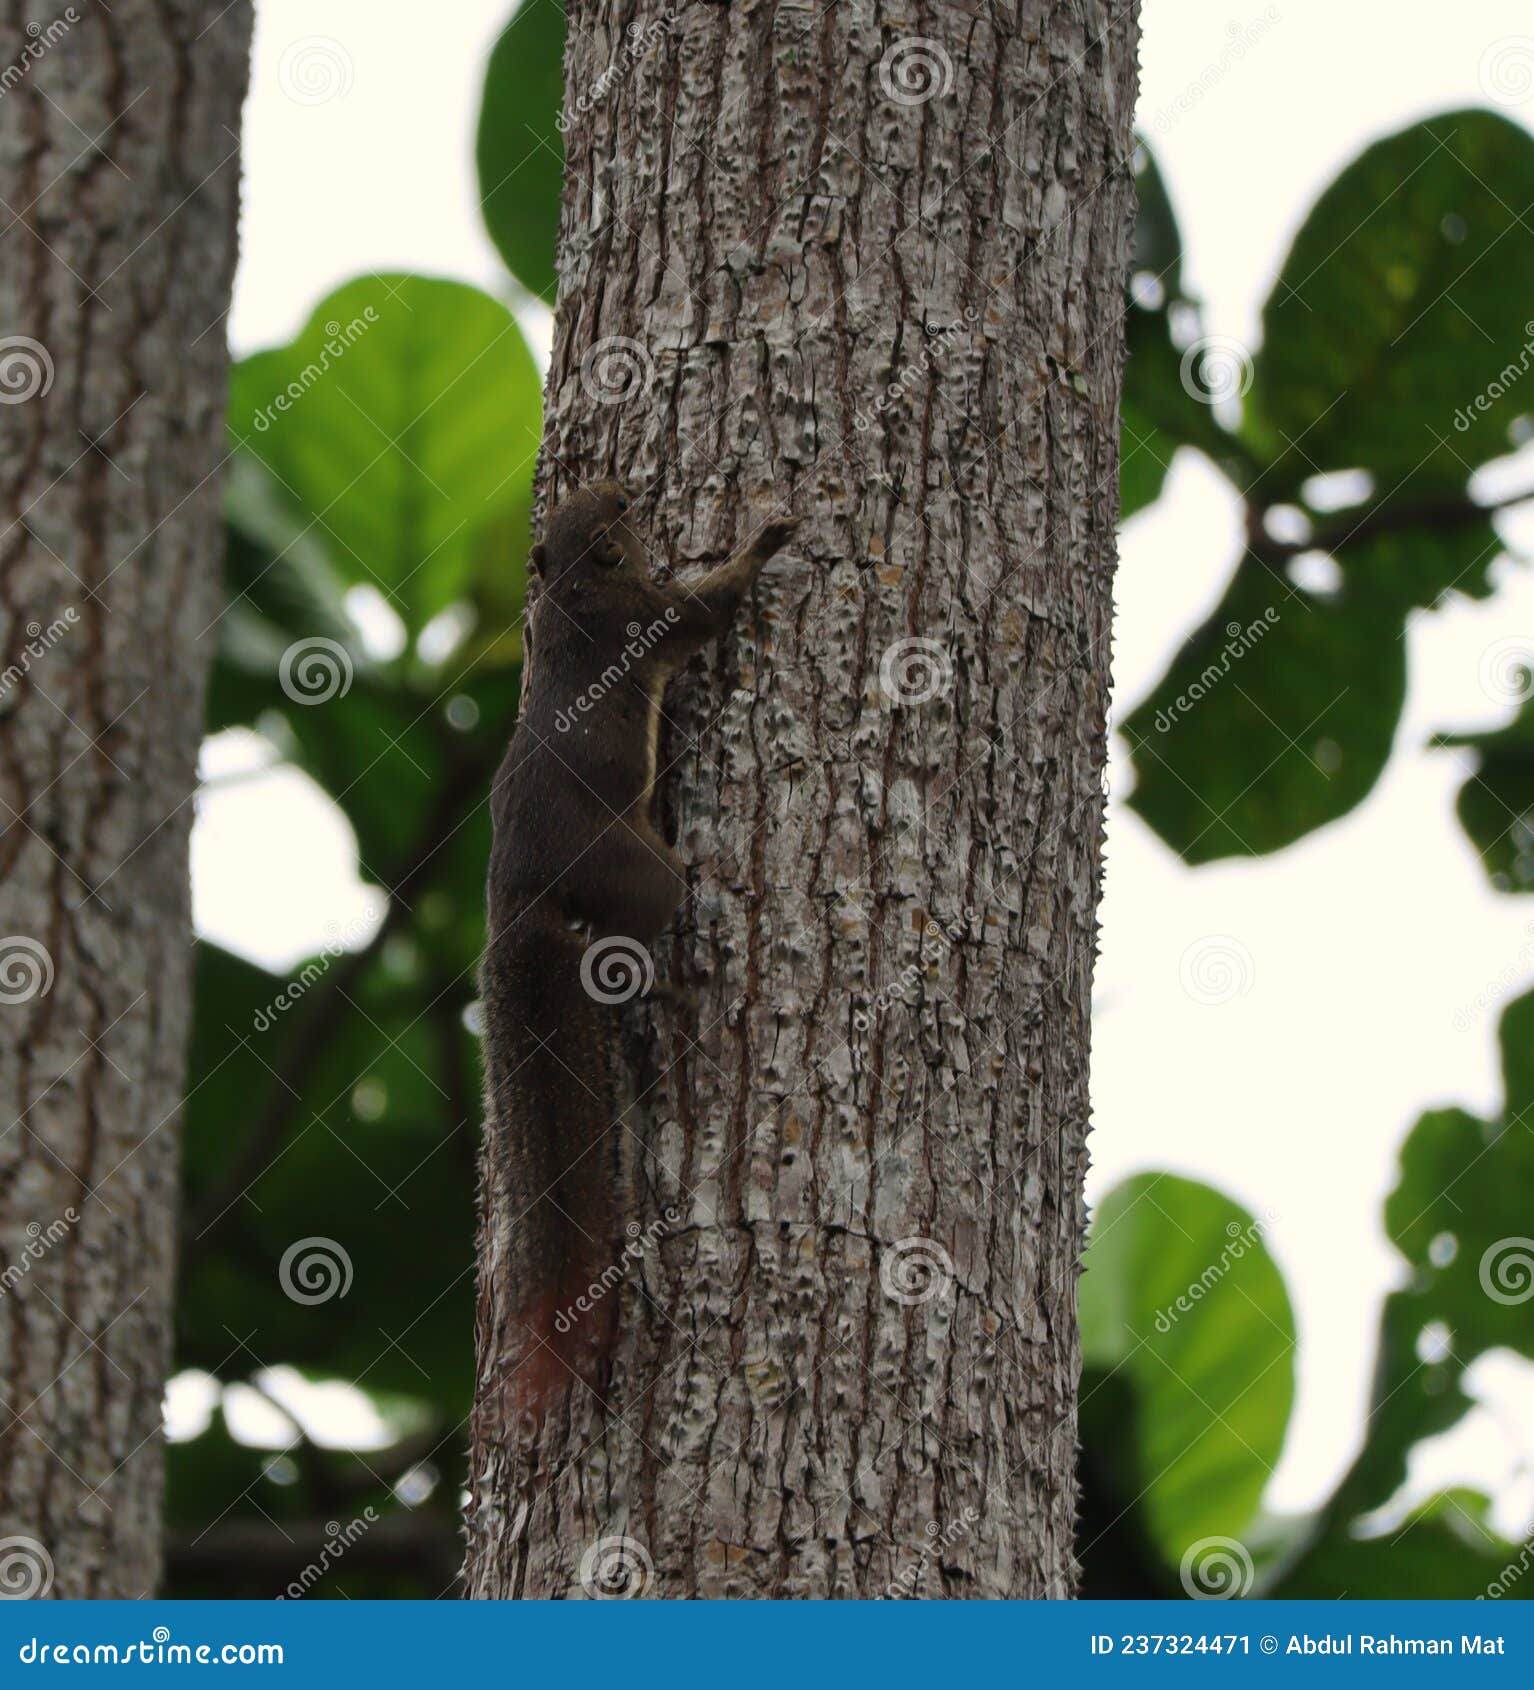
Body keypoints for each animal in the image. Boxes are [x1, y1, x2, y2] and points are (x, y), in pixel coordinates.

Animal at [478, 480, 800, 1415]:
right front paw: (767, 538)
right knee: (628, 947)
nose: (626, 486)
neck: (574, 592)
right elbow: (712, 602)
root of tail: (517, 903)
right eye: (614, 513)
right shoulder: (651, 615)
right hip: (644, 876)